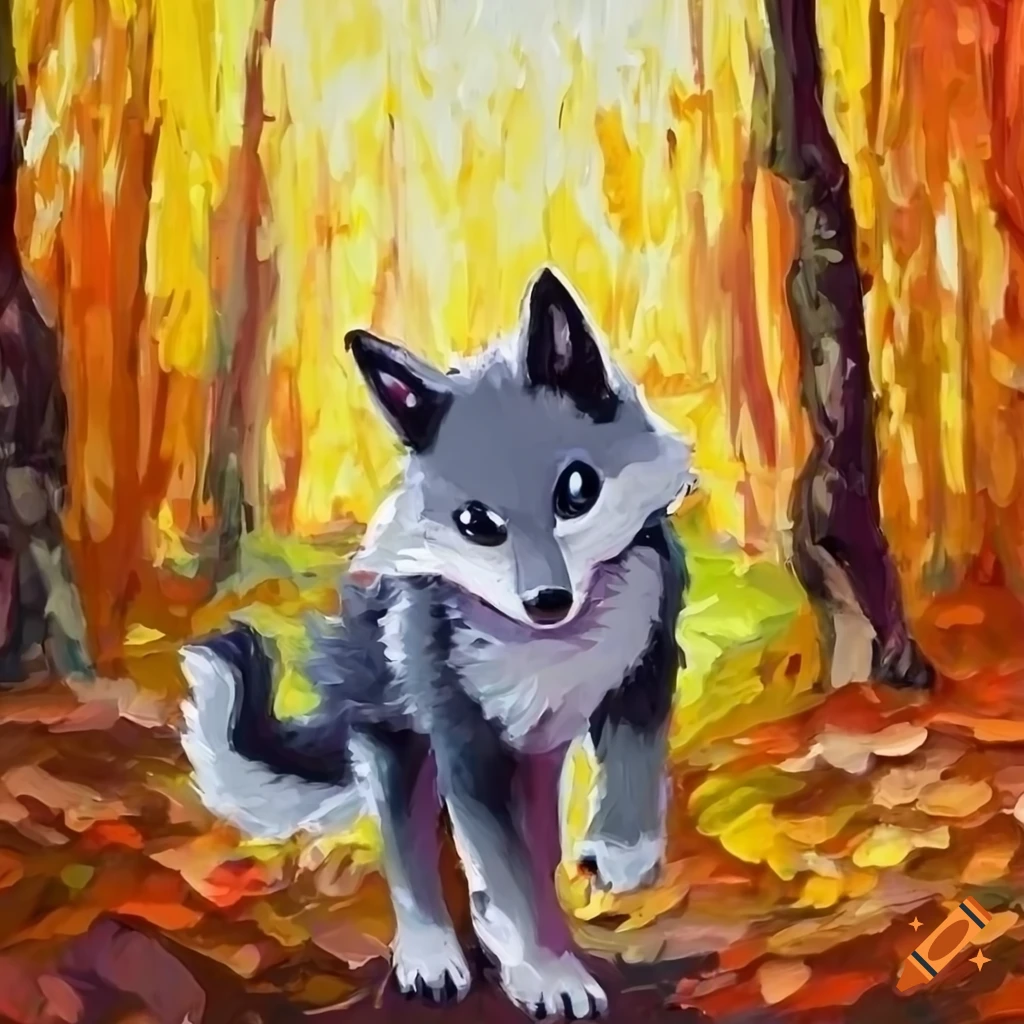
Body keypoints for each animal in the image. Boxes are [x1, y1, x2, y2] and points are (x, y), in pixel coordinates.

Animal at [179, 267, 694, 1020]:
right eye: (477, 523)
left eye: (577, 490)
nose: (548, 601)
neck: (549, 649)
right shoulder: (465, 744)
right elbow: (501, 875)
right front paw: (548, 976)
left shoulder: (644, 667)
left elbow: (632, 765)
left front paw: (620, 854)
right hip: (399, 742)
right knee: (411, 854)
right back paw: (433, 958)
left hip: (534, 759)